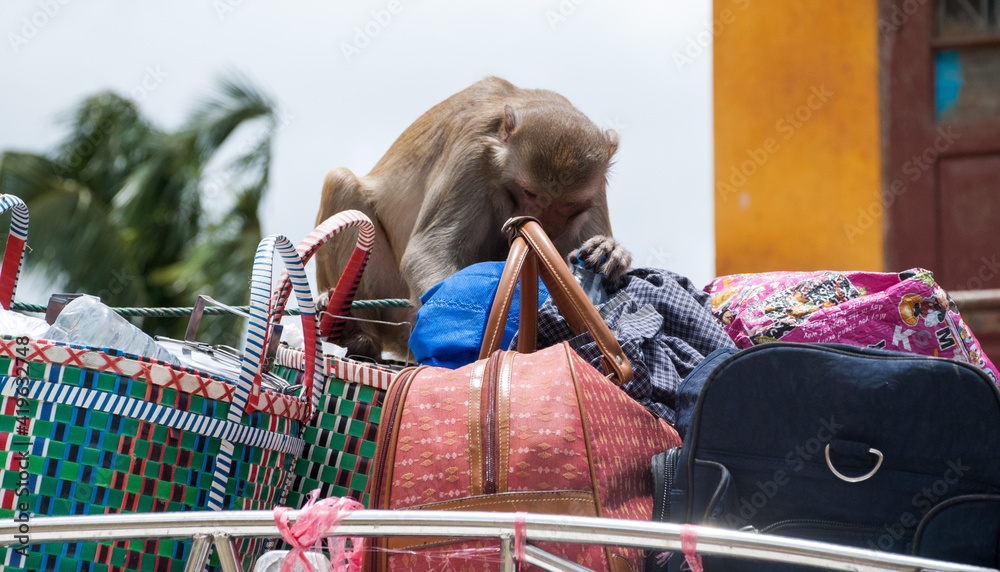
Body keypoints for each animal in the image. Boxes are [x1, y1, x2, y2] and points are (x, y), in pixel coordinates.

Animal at [314, 76, 631, 361]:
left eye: (569, 204)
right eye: (530, 192)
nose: (548, 227)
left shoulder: (596, 187)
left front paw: (610, 251)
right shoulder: (472, 154)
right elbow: (429, 250)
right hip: (394, 307)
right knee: (340, 182)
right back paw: (357, 336)